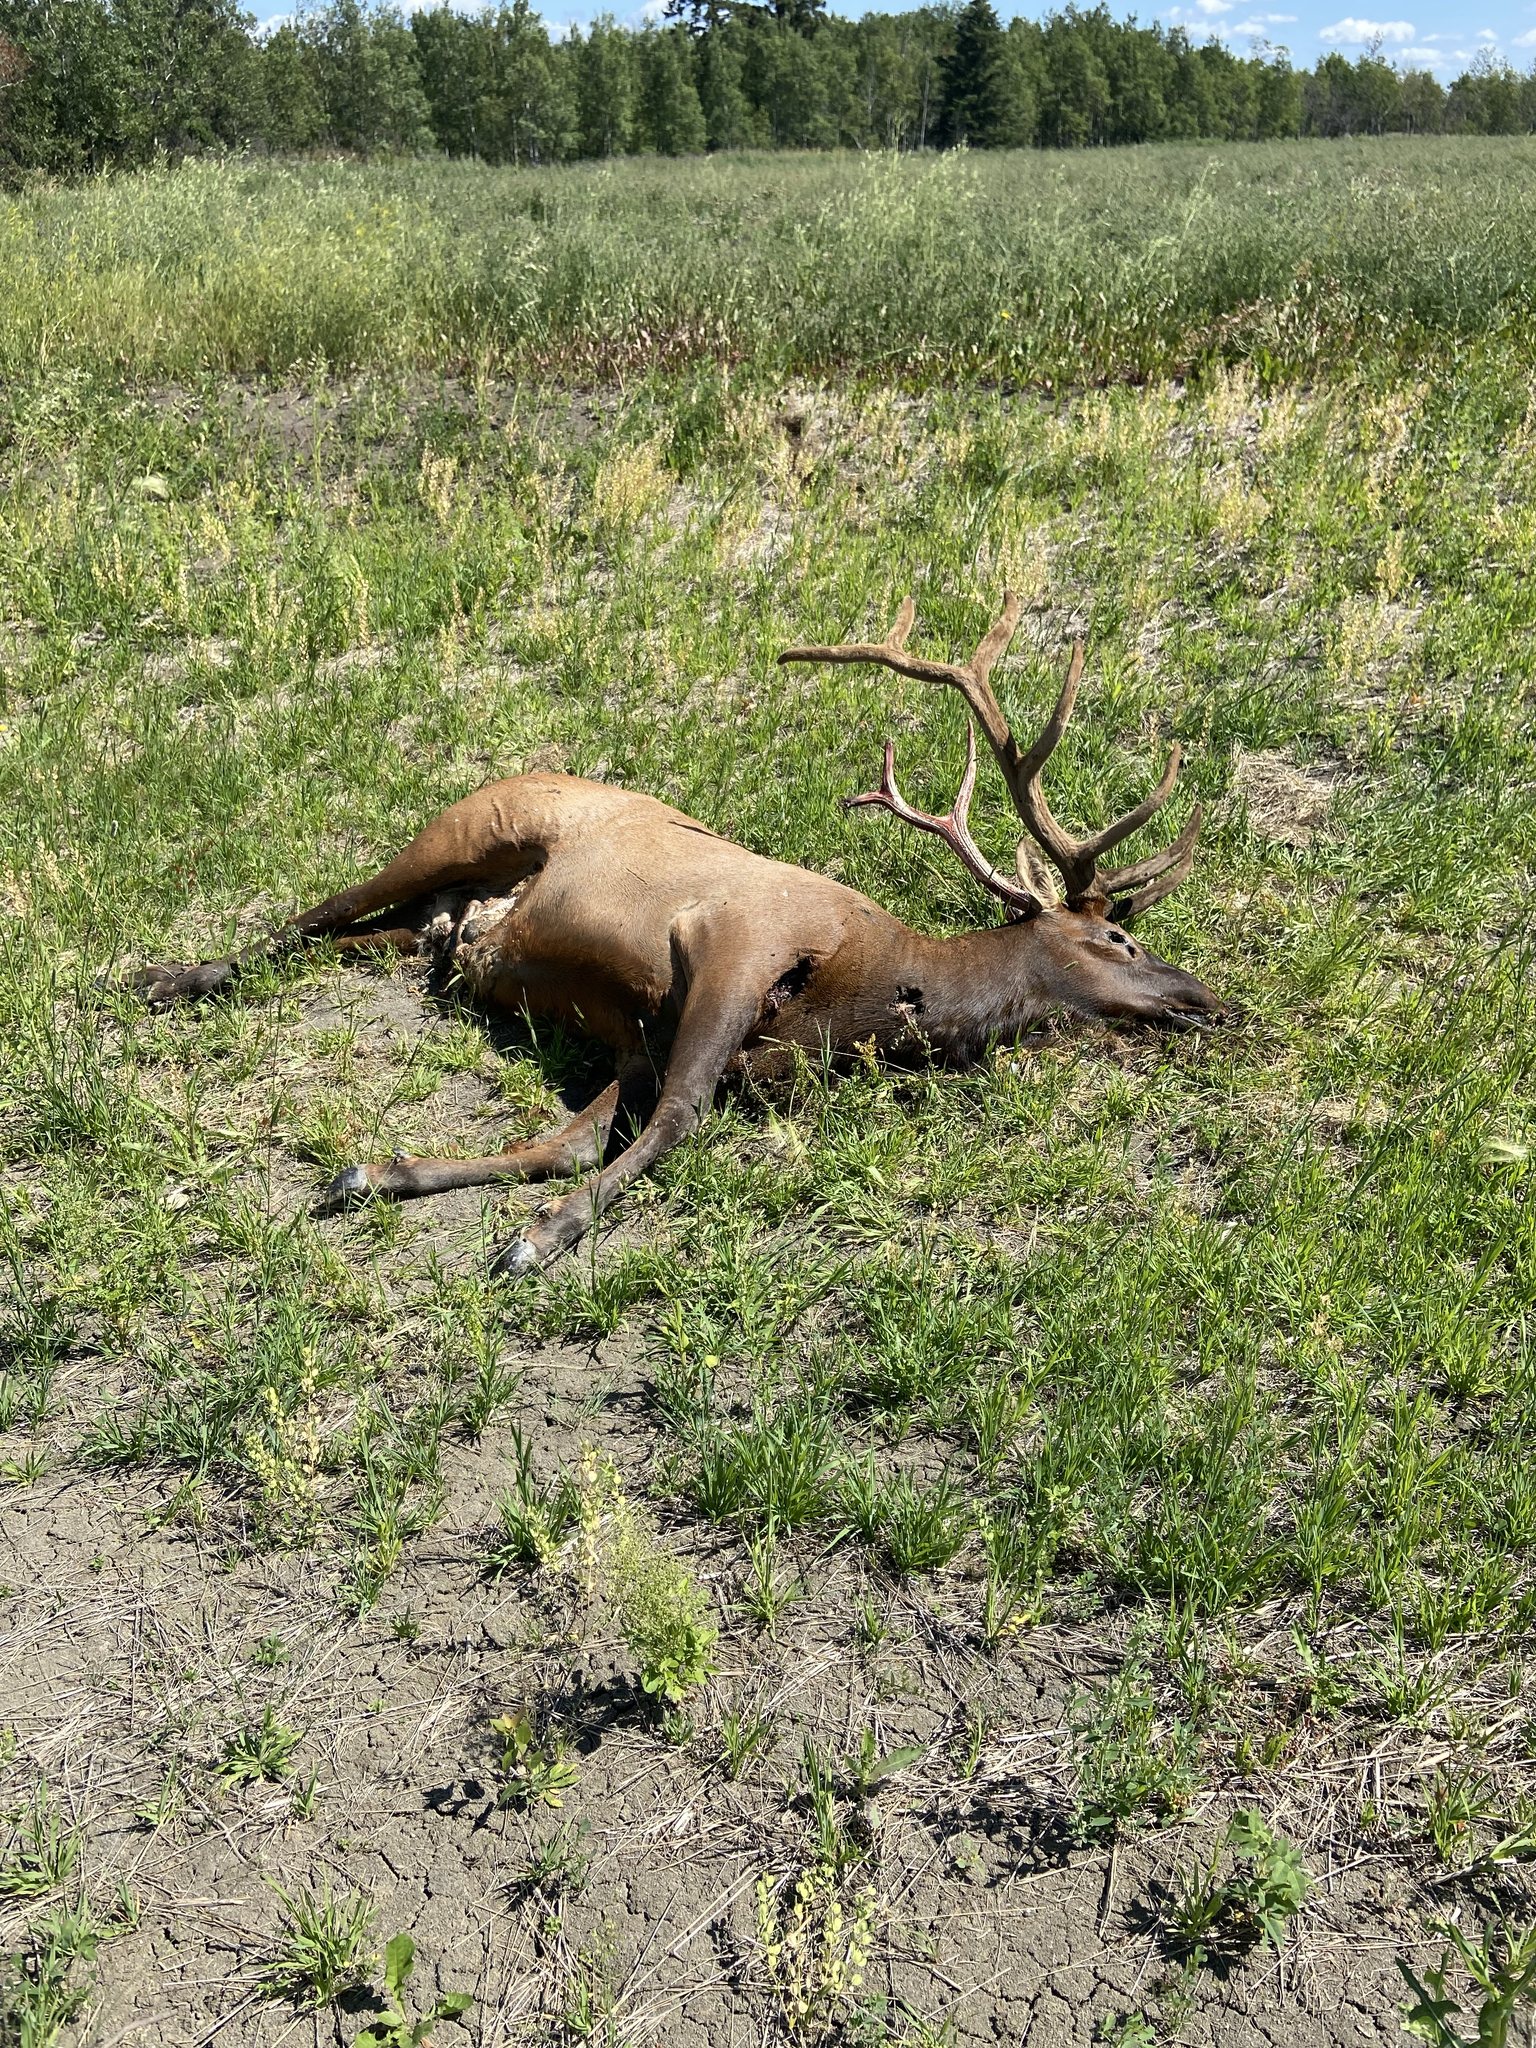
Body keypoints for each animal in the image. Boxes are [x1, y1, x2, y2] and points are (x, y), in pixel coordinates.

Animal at [134, 593, 1221, 1276]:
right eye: (1119, 943)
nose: (1210, 1000)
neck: (872, 996)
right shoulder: (733, 944)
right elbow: (673, 1120)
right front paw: (538, 1238)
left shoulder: (642, 1030)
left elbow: (573, 1139)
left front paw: (383, 1171)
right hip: (464, 825)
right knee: (314, 909)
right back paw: (165, 975)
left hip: (430, 934)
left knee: (351, 936)